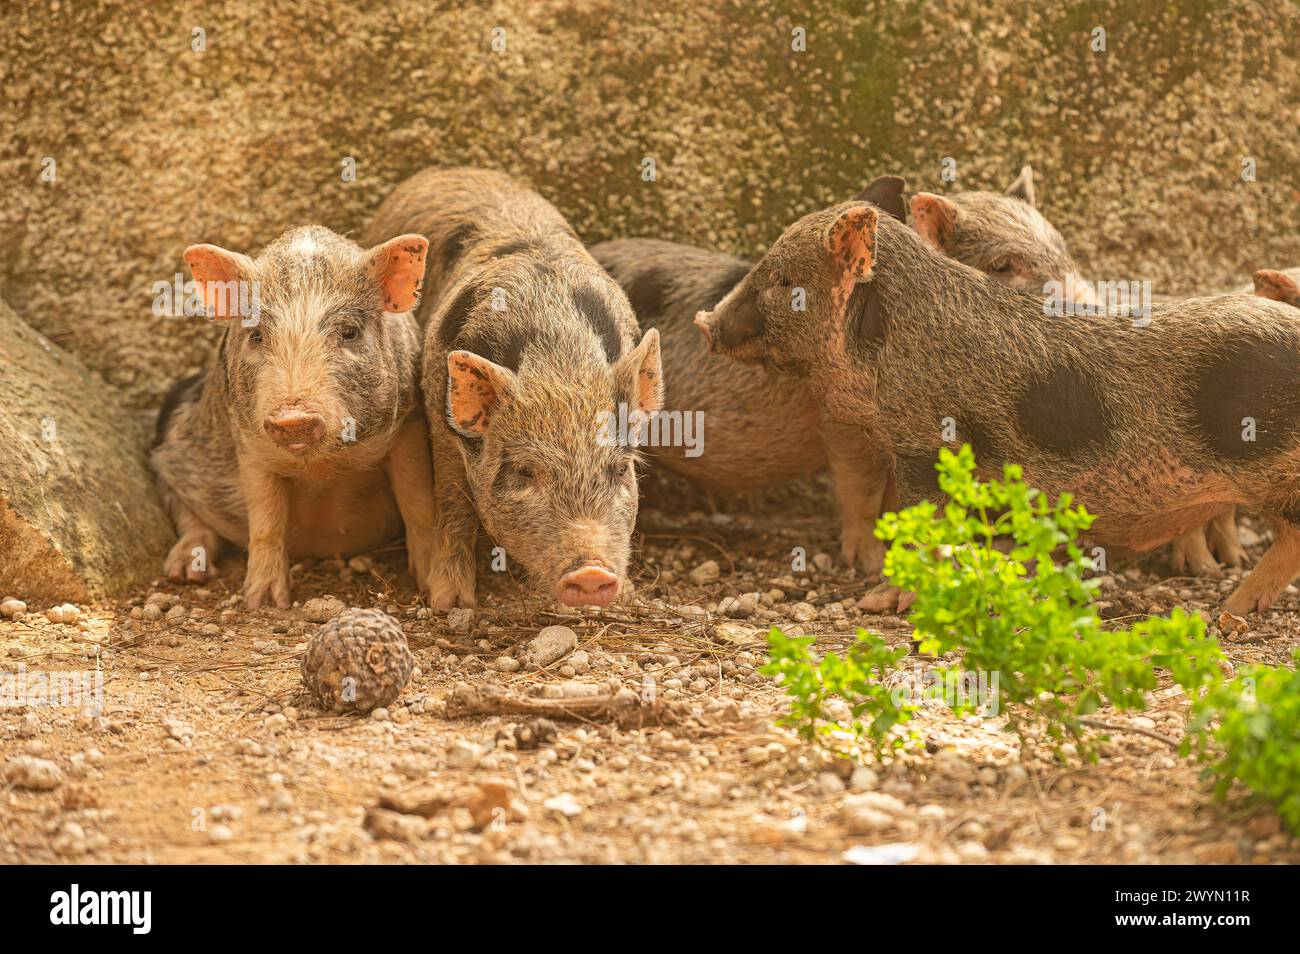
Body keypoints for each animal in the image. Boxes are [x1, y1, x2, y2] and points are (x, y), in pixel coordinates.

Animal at [150, 225, 437, 608]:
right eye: (257, 335)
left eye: (349, 332)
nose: (292, 417)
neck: (319, 468)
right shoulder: (248, 443)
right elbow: (265, 518)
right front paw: (265, 602)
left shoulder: (410, 423)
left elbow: (417, 500)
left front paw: (434, 587)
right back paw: (184, 573)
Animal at [362, 167, 662, 610]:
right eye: (525, 471)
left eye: (620, 469)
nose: (591, 574)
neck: (560, 363)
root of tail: (445, 171)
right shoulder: (440, 415)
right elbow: (453, 503)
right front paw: (450, 603)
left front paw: (627, 595)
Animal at [696, 198, 1300, 616]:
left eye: (783, 280)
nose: (706, 322)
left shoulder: (926, 439)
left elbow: (920, 524)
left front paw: (880, 603)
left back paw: (1230, 610)